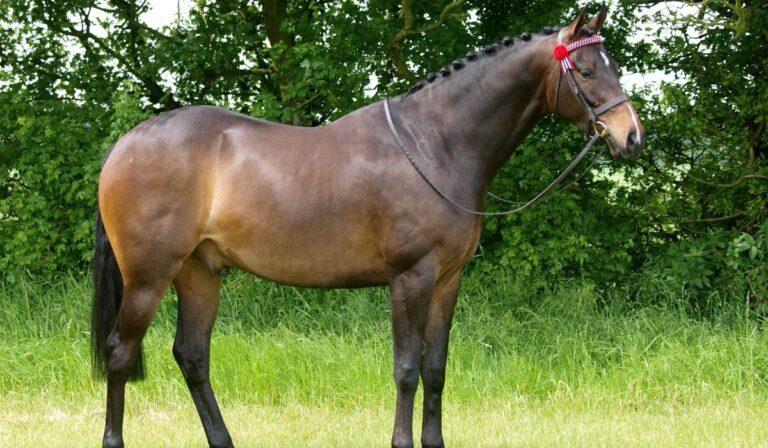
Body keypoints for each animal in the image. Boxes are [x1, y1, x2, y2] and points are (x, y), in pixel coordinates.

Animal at [91, 7, 644, 448]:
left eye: (614, 68)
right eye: (587, 71)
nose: (632, 138)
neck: (436, 143)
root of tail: (125, 145)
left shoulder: (448, 280)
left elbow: (435, 370)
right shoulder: (410, 278)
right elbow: (406, 370)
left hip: (199, 273)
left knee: (192, 356)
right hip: (149, 277)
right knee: (120, 354)